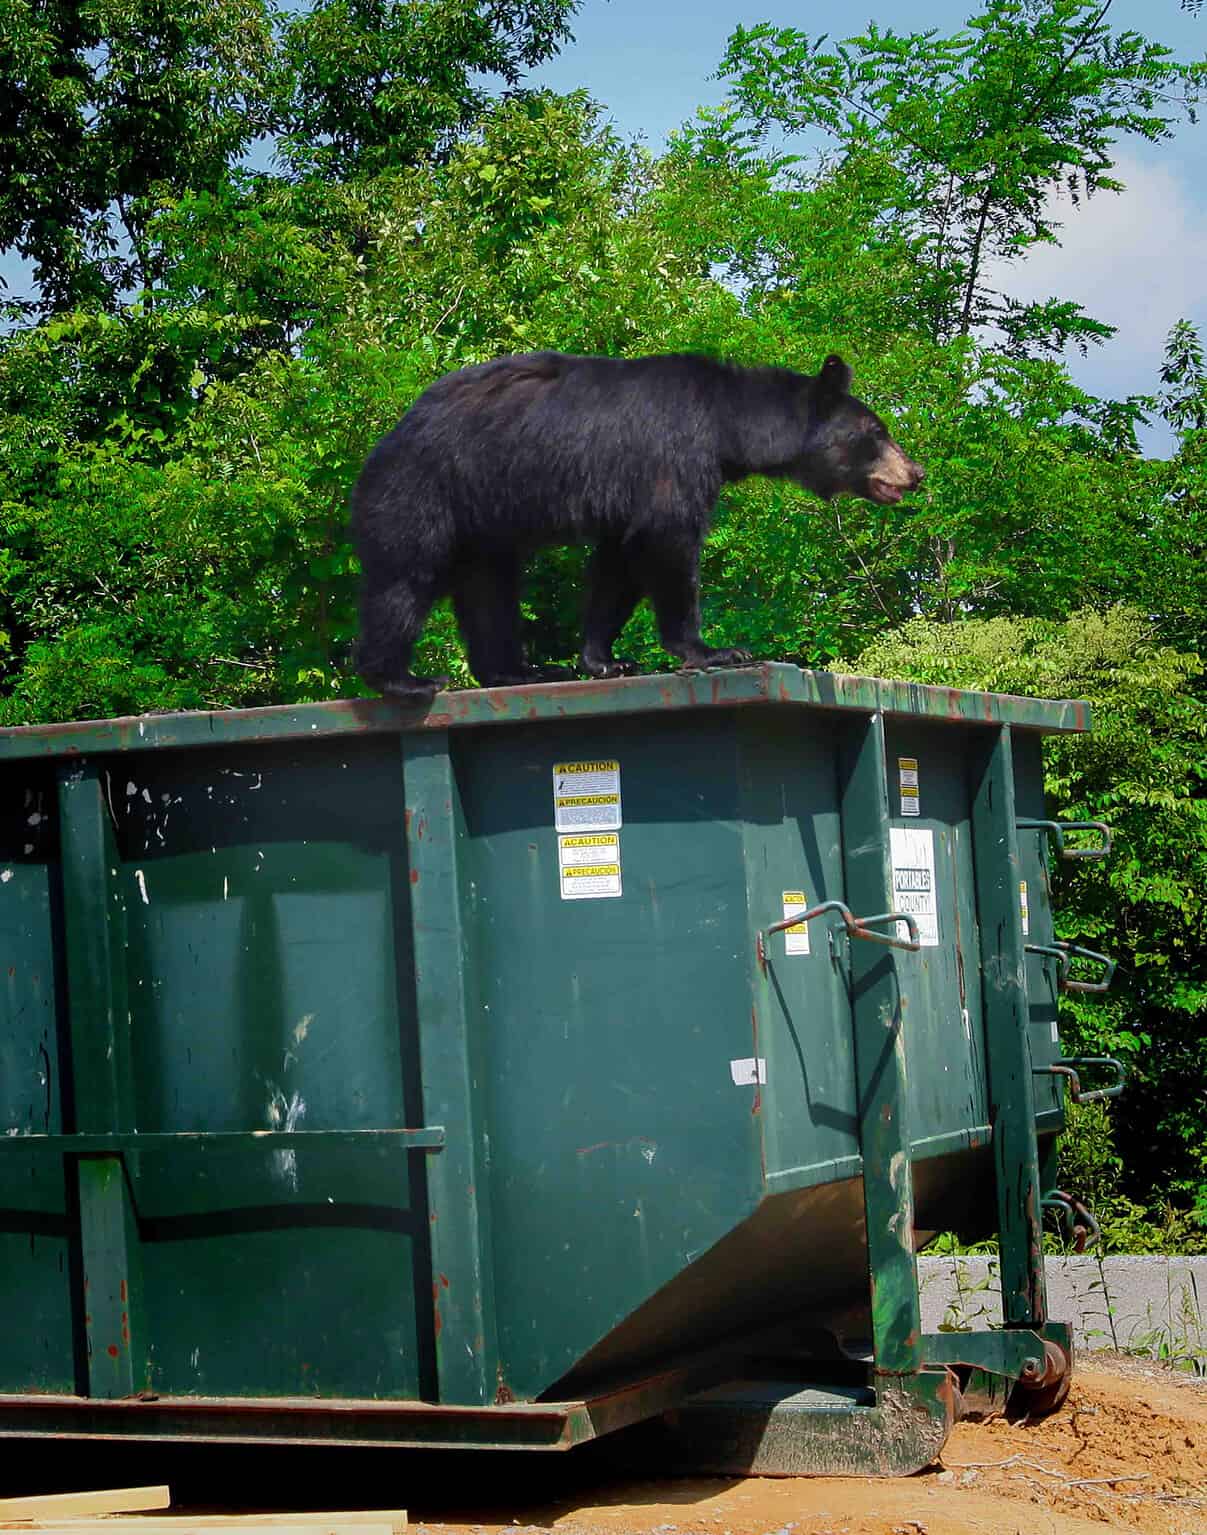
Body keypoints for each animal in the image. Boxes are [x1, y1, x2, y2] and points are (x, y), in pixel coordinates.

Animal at [350, 350, 923, 700]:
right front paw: (710, 650)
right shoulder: (672, 457)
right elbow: (668, 541)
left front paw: (603, 659)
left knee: (490, 588)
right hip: (422, 491)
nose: (915, 473)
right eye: (877, 432)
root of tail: (386, 441)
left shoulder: (623, 496)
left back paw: (519, 670)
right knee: (404, 578)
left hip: (484, 521)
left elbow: (616, 565)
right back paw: (403, 679)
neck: (726, 423)